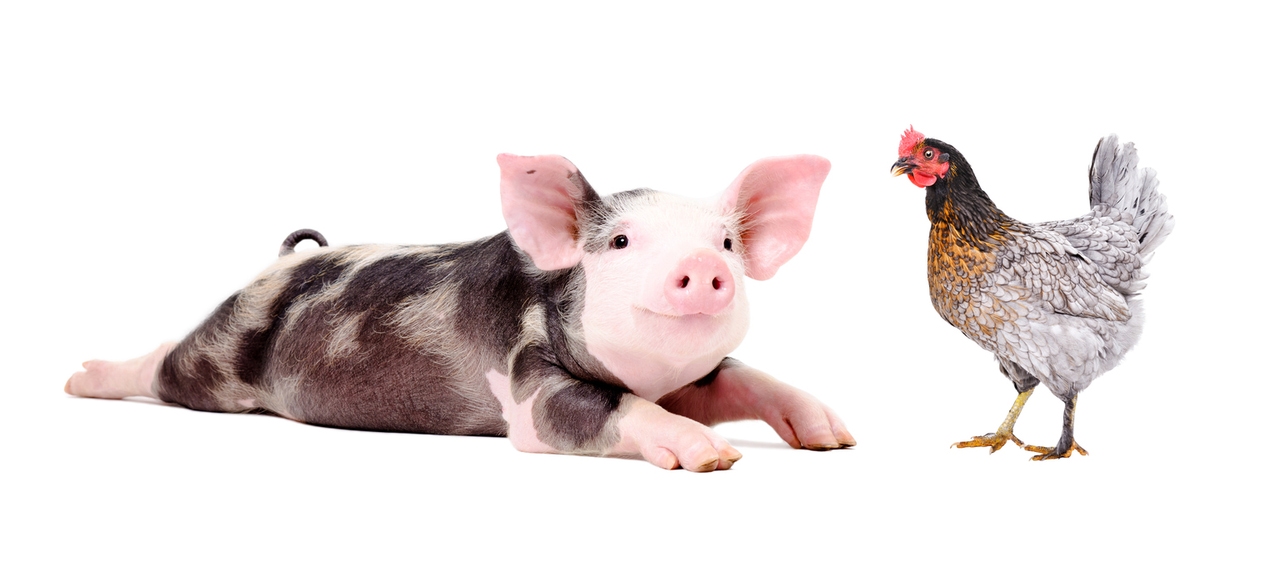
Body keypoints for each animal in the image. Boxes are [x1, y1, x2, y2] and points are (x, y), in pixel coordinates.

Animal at [66, 154, 855, 471]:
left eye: (725, 242)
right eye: (621, 242)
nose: (704, 268)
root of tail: (279, 264)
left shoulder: (689, 376)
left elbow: (738, 375)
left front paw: (834, 437)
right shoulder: (529, 385)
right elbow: (596, 409)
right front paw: (713, 455)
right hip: (219, 355)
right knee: (165, 365)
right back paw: (80, 379)